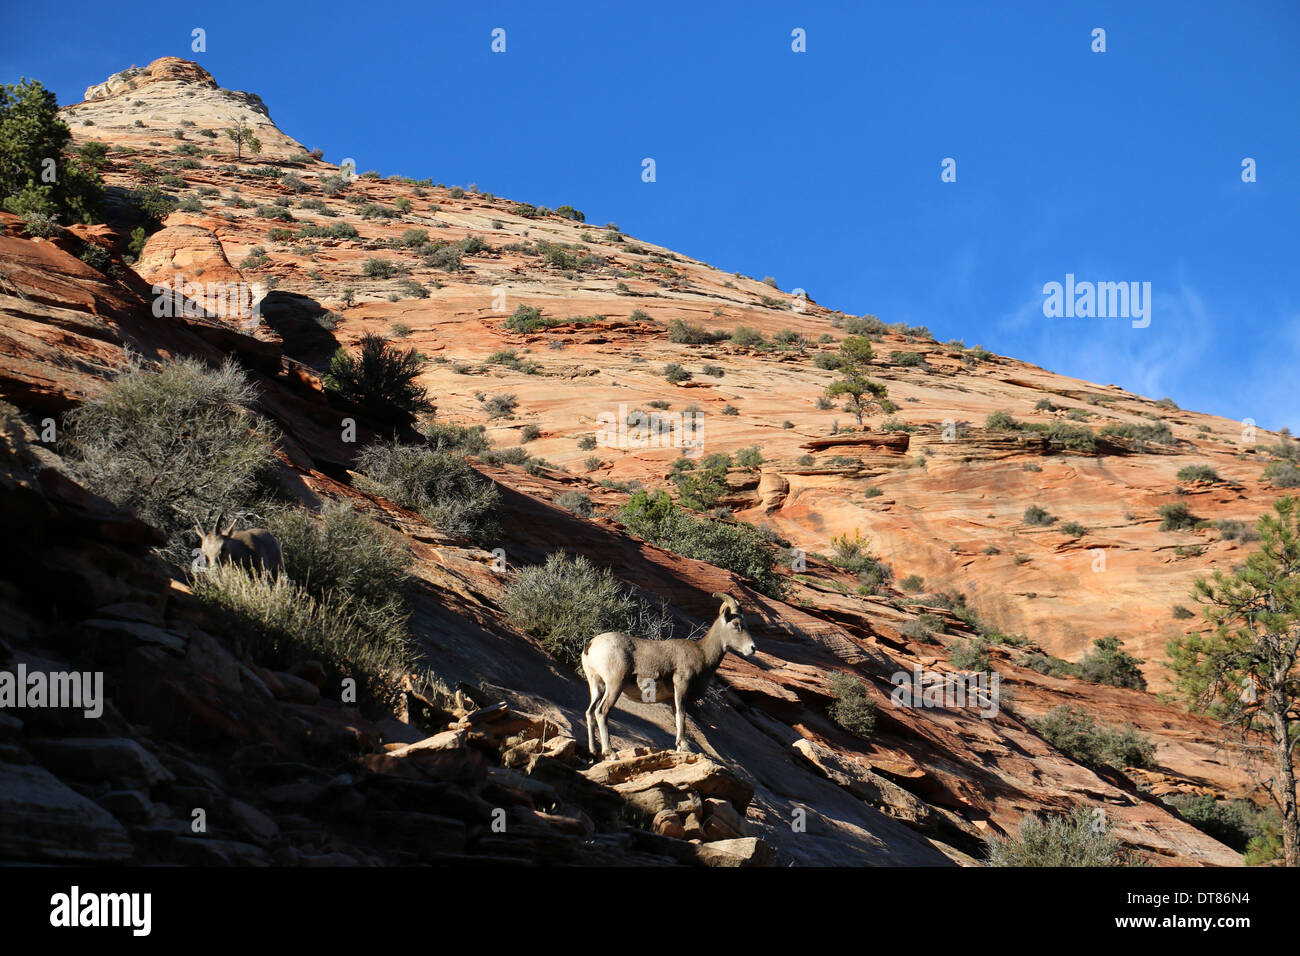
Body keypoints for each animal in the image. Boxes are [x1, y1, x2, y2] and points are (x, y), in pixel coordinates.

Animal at [582, 592, 756, 758]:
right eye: (737, 625)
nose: (752, 648)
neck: (703, 654)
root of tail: (591, 646)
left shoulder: (673, 697)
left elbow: (678, 718)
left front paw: (679, 747)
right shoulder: (681, 686)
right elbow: (682, 715)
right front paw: (684, 746)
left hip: (597, 686)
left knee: (590, 712)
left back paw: (593, 750)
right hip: (615, 685)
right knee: (601, 711)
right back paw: (610, 753)